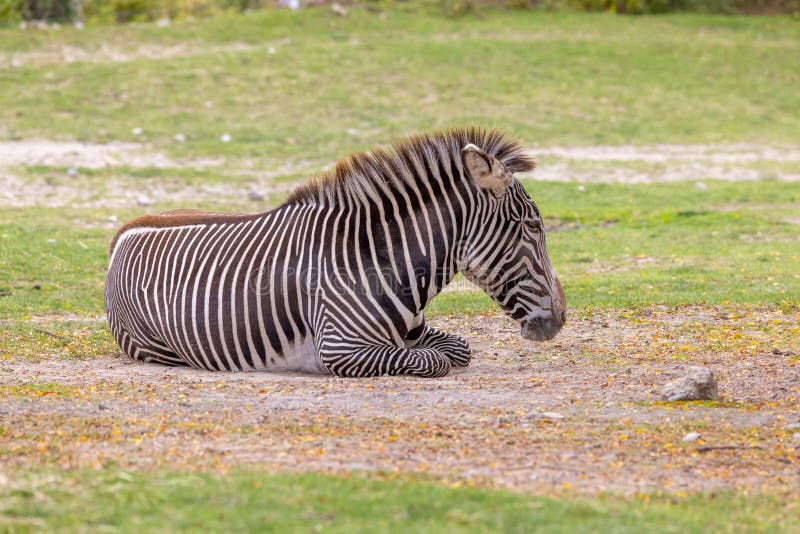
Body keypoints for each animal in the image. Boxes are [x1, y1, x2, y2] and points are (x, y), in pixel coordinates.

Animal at [105, 127, 566, 377]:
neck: (379, 261)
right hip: (157, 348)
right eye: (532, 227)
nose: (560, 318)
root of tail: (124, 231)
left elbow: (457, 348)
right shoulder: (341, 348)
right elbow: (431, 360)